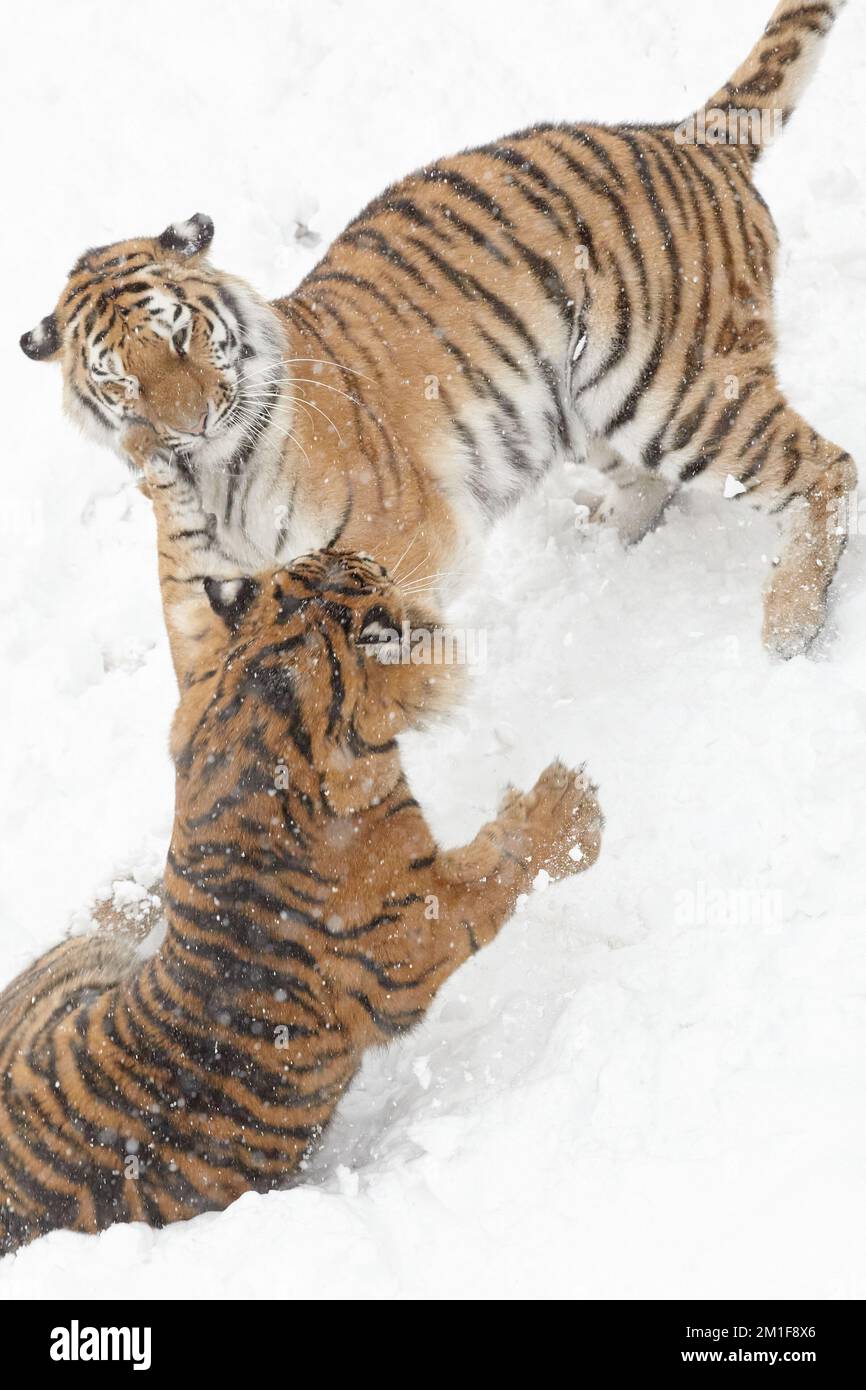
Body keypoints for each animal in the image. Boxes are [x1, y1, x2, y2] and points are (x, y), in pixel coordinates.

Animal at [0, 450, 603, 1253]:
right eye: (365, 569)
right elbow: (496, 873)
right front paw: (571, 808)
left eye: (329, 559)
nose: (372, 550)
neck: (266, 698)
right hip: (78, 965)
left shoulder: (194, 696)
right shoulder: (410, 935)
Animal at [21, 0, 855, 674]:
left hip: (668, 388)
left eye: (182, 337)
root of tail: (686, 137)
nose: (191, 424)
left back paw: (790, 623)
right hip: (586, 404)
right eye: (119, 379)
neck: (215, 479)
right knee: (652, 484)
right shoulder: (199, 606)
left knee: (827, 468)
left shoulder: (404, 555)